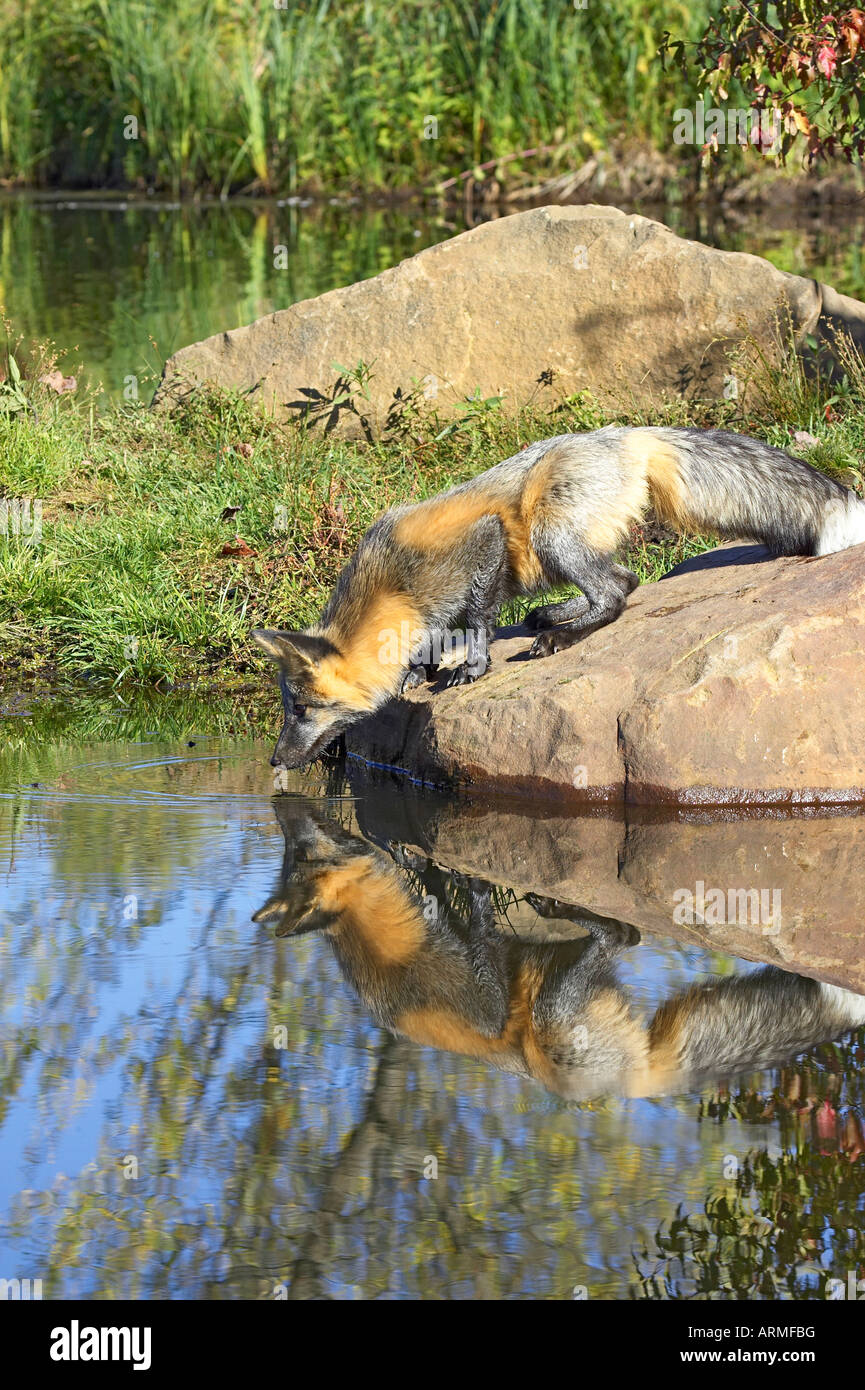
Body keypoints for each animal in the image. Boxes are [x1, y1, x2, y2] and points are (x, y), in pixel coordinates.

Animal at [252, 799, 865, 1101]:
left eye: (297, 851)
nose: (283, 804)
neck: (391, 948)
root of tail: (630, 1085)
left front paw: (434, 869)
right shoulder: (486, 996)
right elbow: (478, 929)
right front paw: (467, 887)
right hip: (553, 1012)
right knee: (622, 937)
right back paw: (564, 909)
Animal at [253, 426, 865, 768]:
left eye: (302, 710)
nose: (274, 759)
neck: (392, 587)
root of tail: (624, 433)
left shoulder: (485, 545)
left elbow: (477, 620)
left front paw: (470, 667)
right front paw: (418, 671)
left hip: (550, 536)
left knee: (616, 592)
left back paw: (563, 634)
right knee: (626, 579)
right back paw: (551, 616)